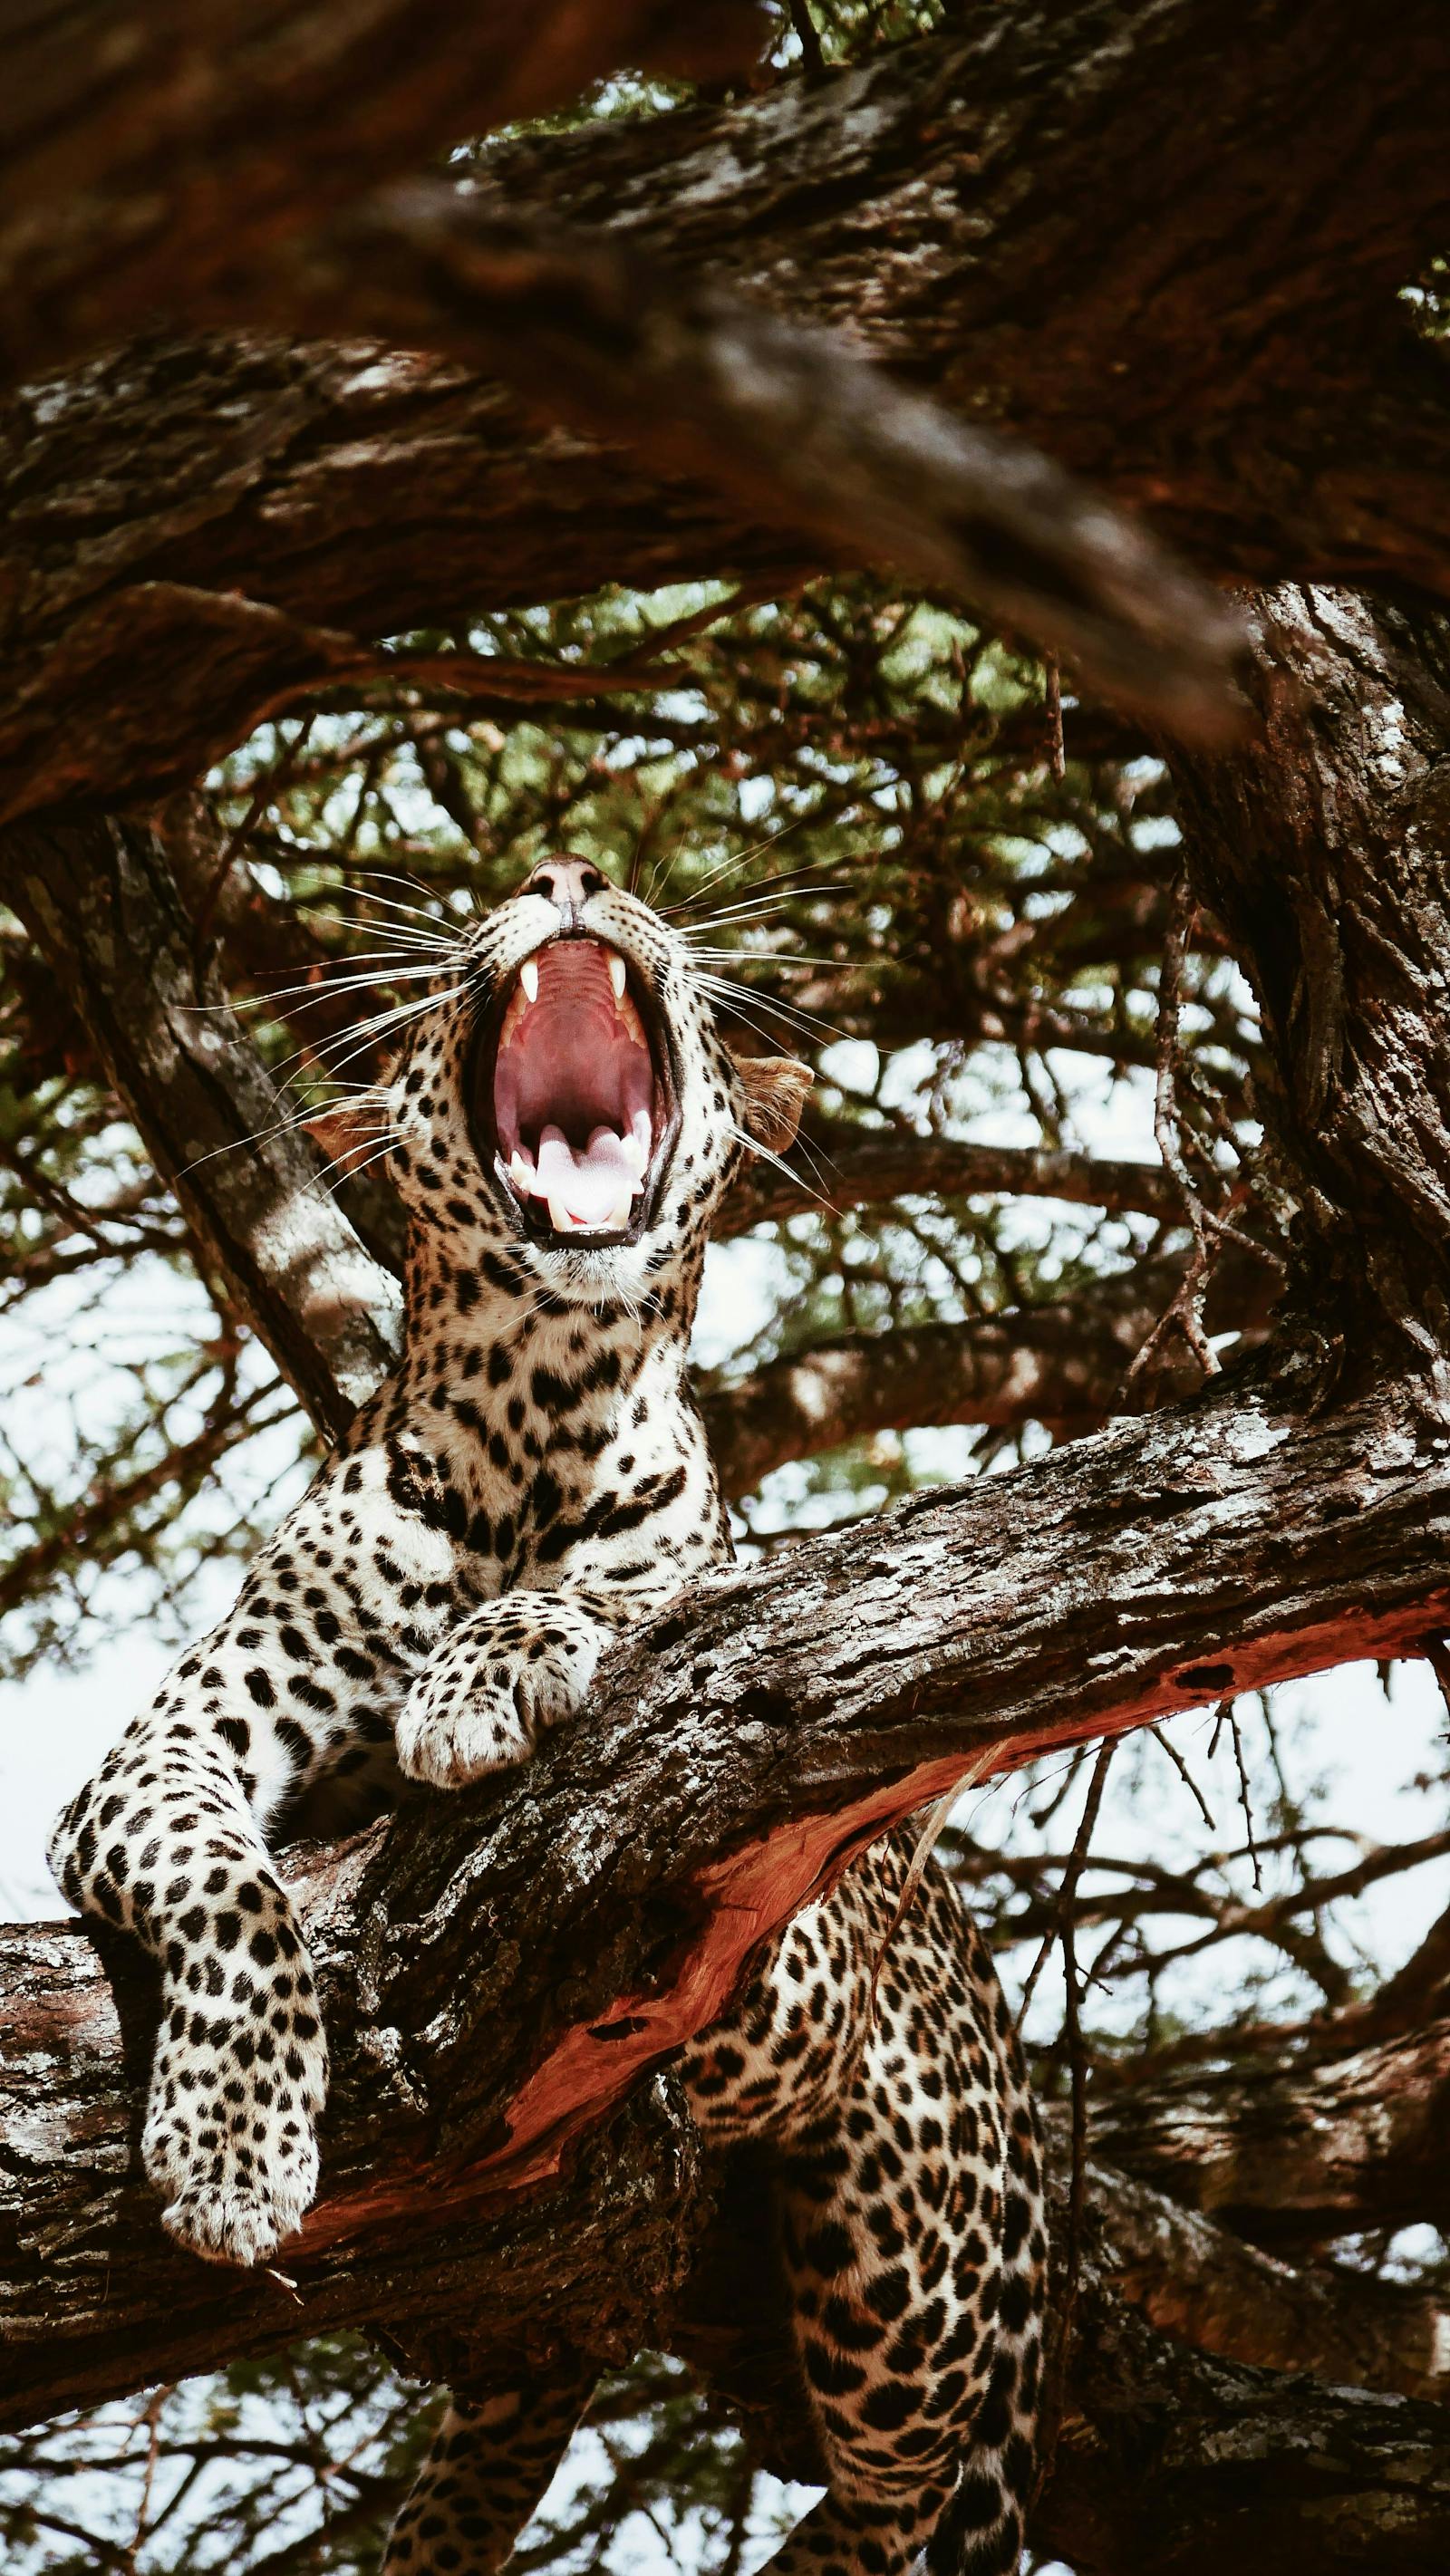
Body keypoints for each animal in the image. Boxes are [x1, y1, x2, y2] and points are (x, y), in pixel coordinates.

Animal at [50, 855, 1047, 2576]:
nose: (574, 874)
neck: (536, 1408)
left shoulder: (785, 1924)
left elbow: (646, 1597)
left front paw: (484, 1671)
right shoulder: (161, 1752)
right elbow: (232, 1890)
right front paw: (236, 2149)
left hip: (908, 2249)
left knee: (892, 2505)